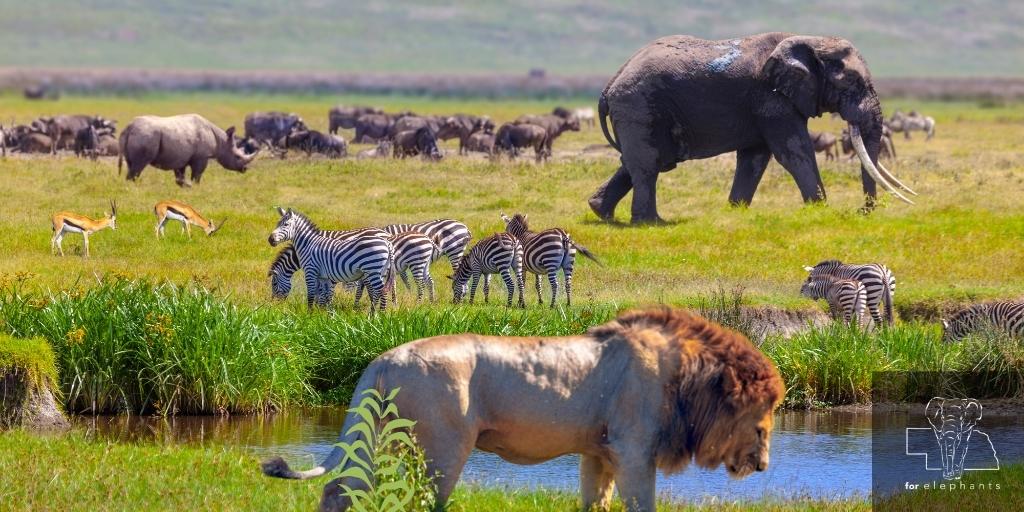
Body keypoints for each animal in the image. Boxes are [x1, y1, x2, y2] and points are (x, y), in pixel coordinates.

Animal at [118, 114, 258, 187]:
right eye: (237, 157)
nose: (245, 169)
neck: (221, 141)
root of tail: (129, 127)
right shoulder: (201, 157)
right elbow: (197, 175)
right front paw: (195, 187)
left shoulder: (180, 157)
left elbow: (180, 177)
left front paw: (185, 187)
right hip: (145, 136)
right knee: (139, 165)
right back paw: (134, 187)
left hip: (139, 135)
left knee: (131, 165)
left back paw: (130, 186)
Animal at [589, 32, 916, 223]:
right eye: (852, 81)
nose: (863, 211)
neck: (808, 40)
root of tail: (608, 87)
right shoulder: (770, 97)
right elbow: (794, 151)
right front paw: (819, 210)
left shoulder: (765, 104)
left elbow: (755, 158)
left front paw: (735, 212)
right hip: (638, 105)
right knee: (648, 164)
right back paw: (651, 223)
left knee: (642, 161)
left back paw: (601, 213)